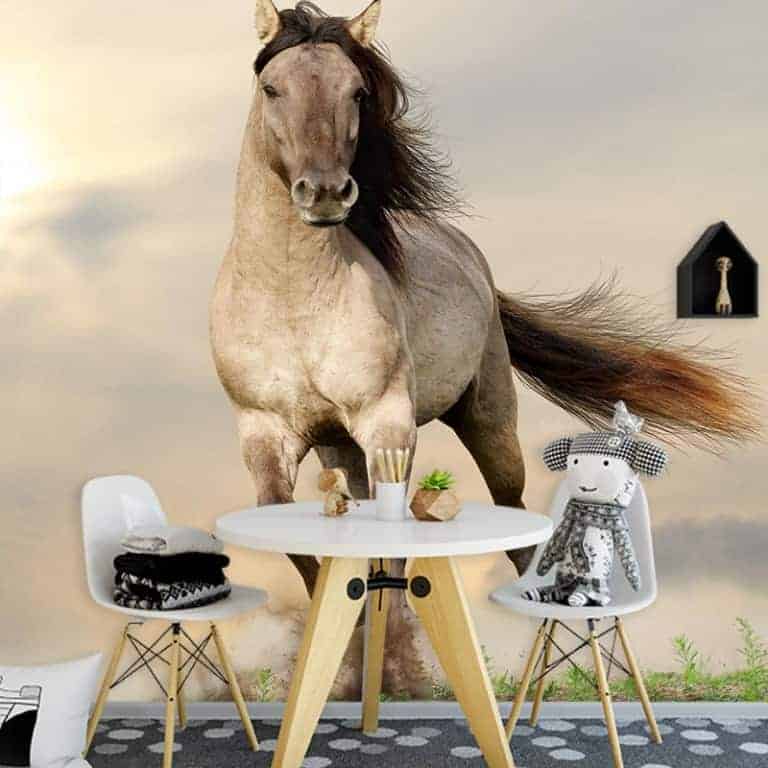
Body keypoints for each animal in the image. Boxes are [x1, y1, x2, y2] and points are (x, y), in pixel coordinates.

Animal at [210, 0, 754, 691]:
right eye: (272, 88)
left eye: (357, 91)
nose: (326, 193)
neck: (291, 297)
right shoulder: (265, 433)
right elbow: (312, 556)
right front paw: (353, 670)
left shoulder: (388, 424)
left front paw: (399, 673)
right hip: (342, 446)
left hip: (488, 422)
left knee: (517, 523)